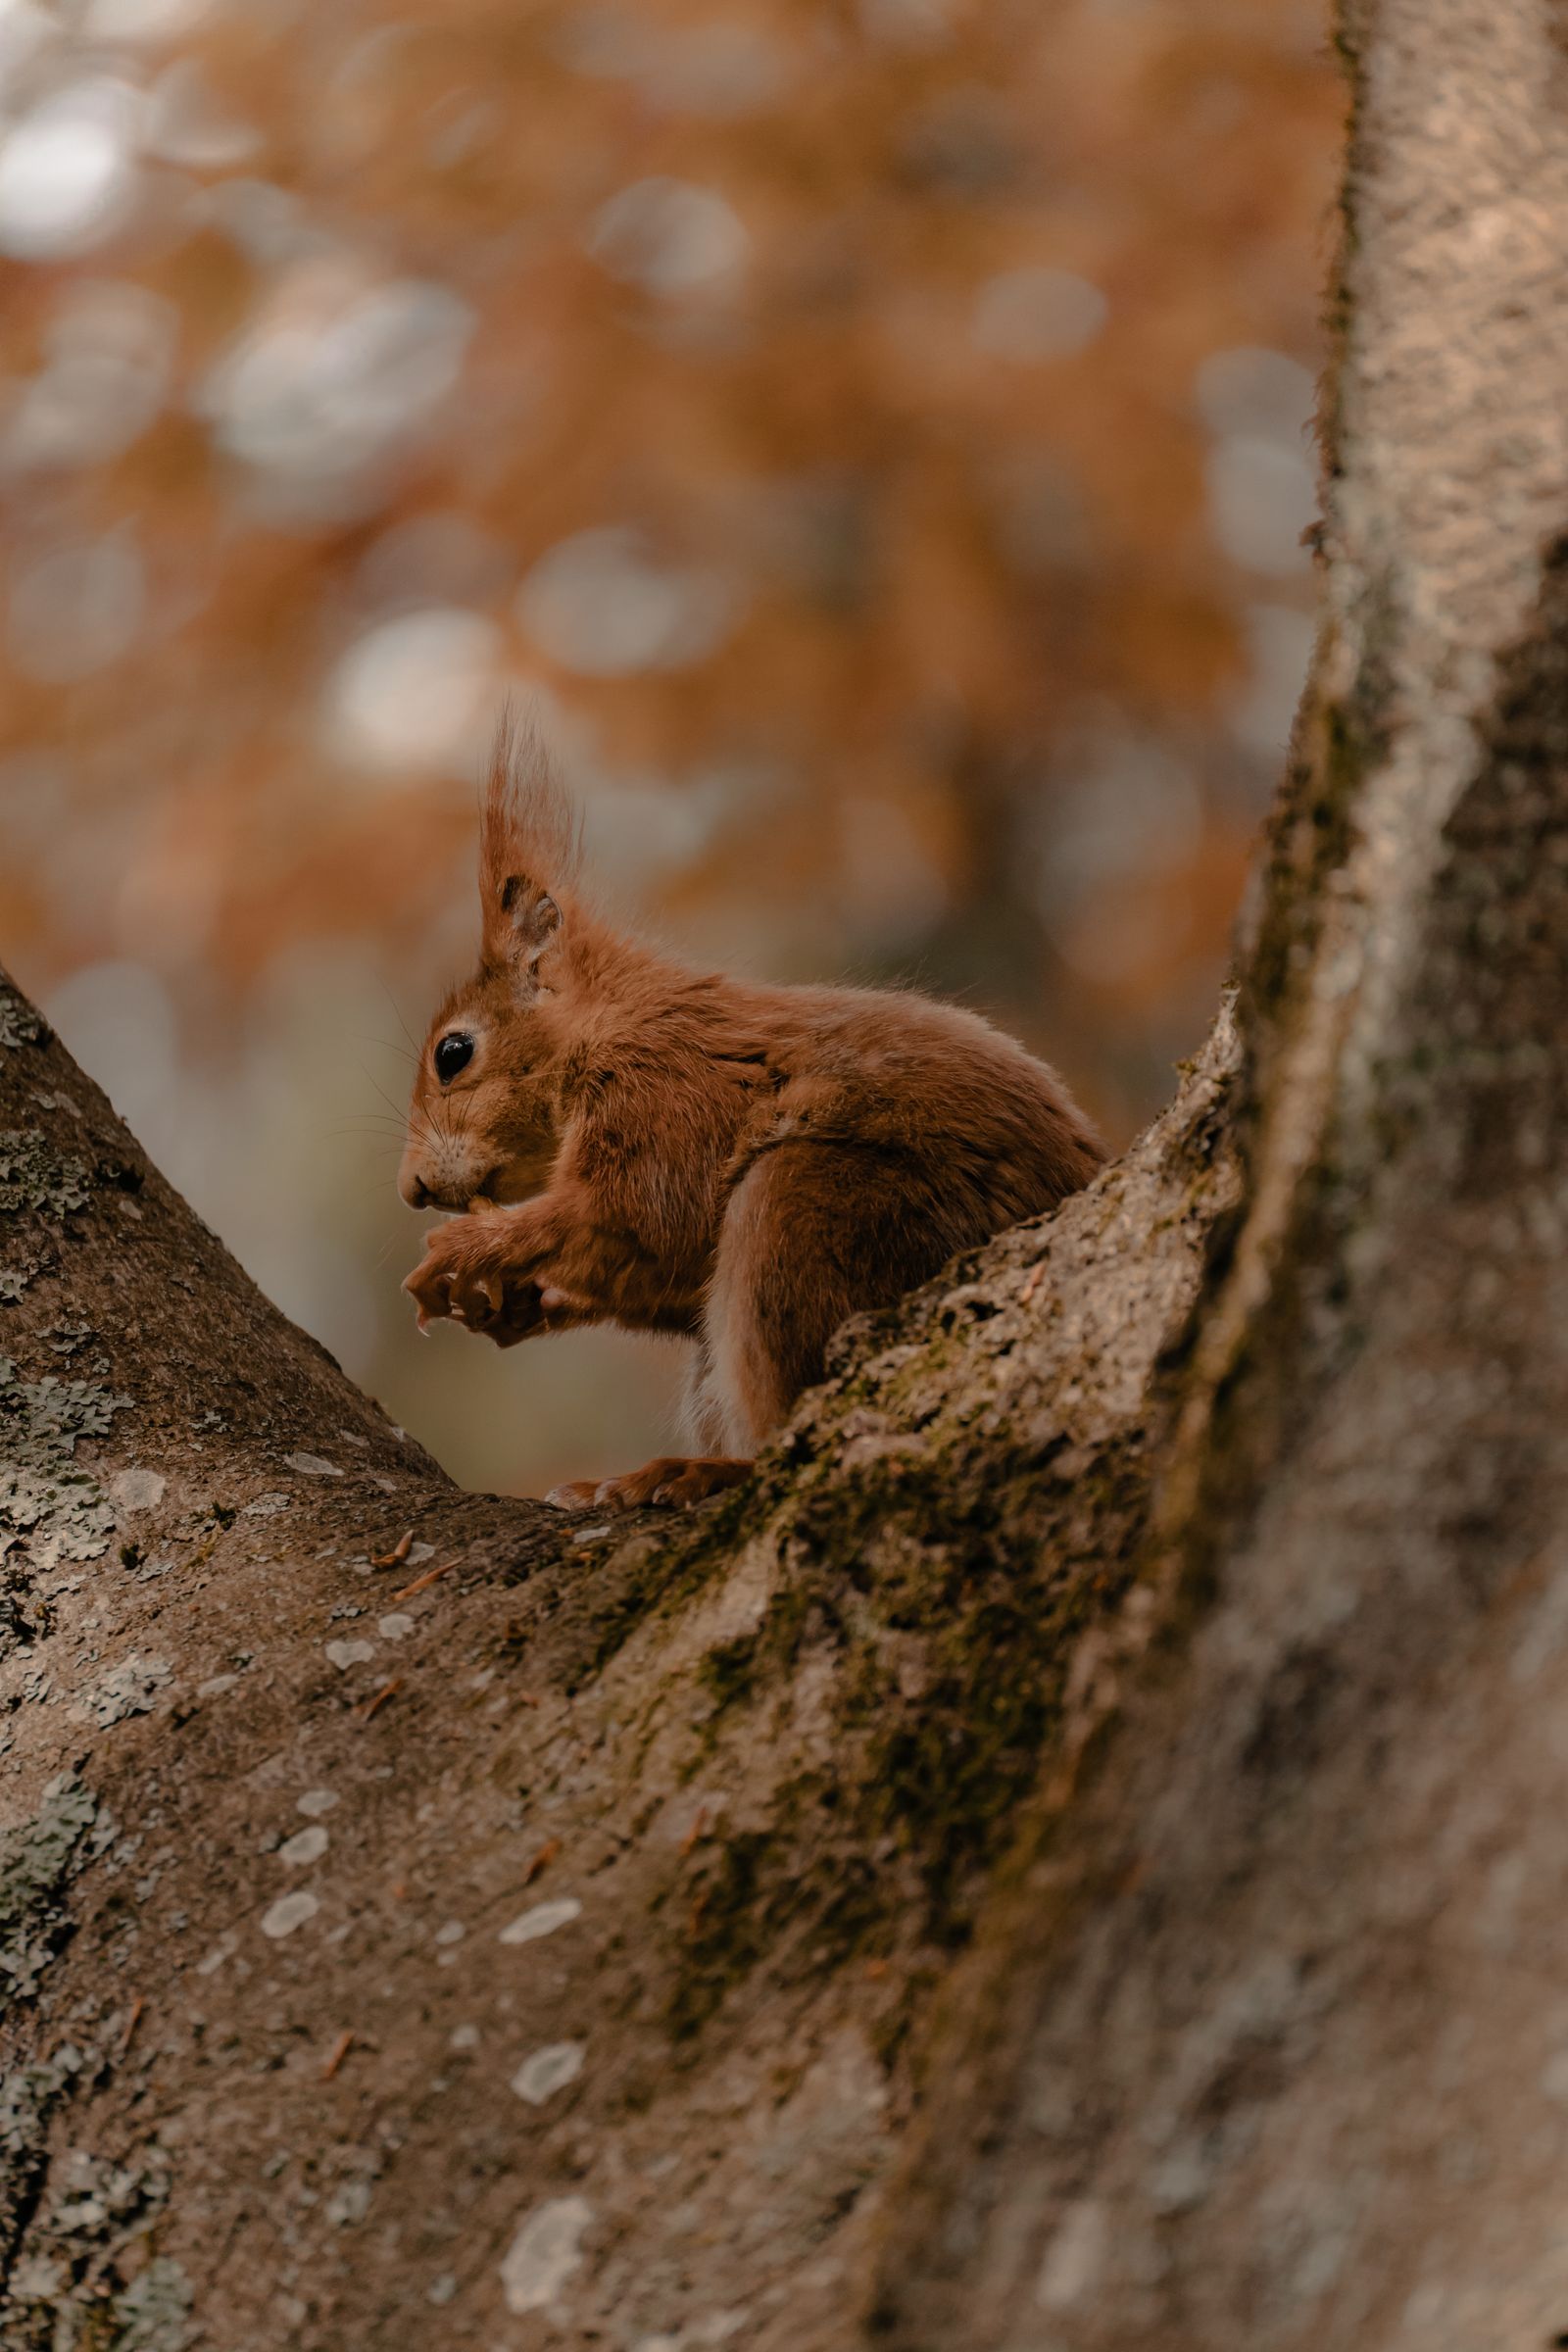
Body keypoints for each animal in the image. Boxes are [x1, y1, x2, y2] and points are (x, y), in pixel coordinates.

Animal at [400, 715, 1105, 1512]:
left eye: (453, 1053)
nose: (411, 1188)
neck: (612, 1025)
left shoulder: (666, 1094)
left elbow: (640, 1219)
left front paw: (471, 1248)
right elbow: (662, 1271)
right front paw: (516, 1303)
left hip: (812, 1211)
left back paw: (700, 1472)